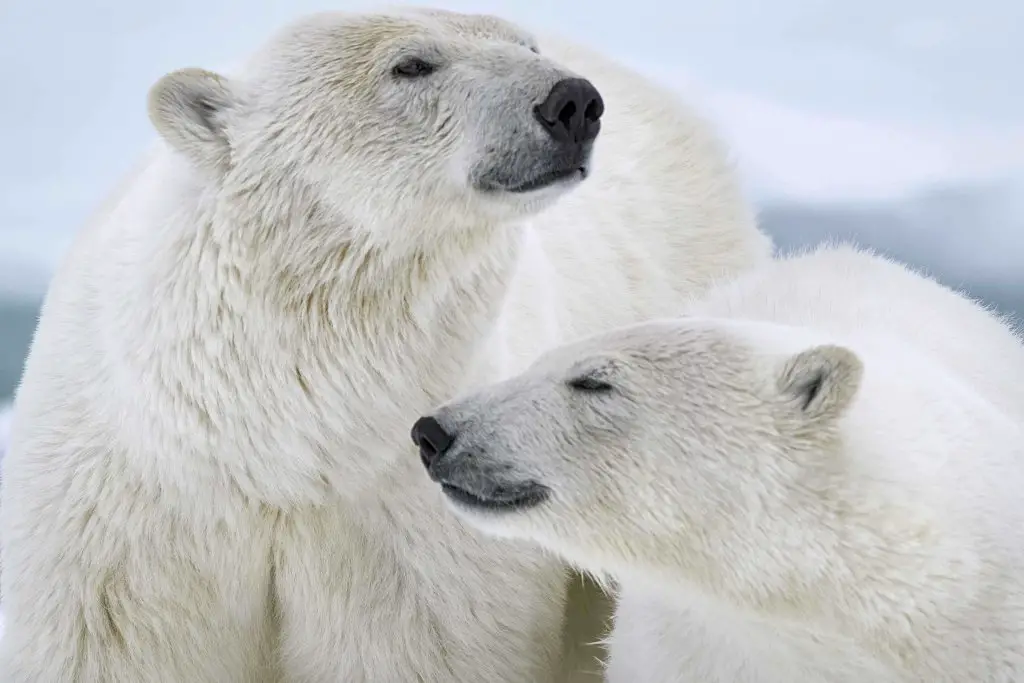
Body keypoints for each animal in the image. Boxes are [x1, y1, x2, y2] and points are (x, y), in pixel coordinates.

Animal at [0, 6, 771, 682]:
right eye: (412, 64)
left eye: (525, 44)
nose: (572, 100)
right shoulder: (127, 507)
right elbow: (112, 641)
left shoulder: (416, 515)